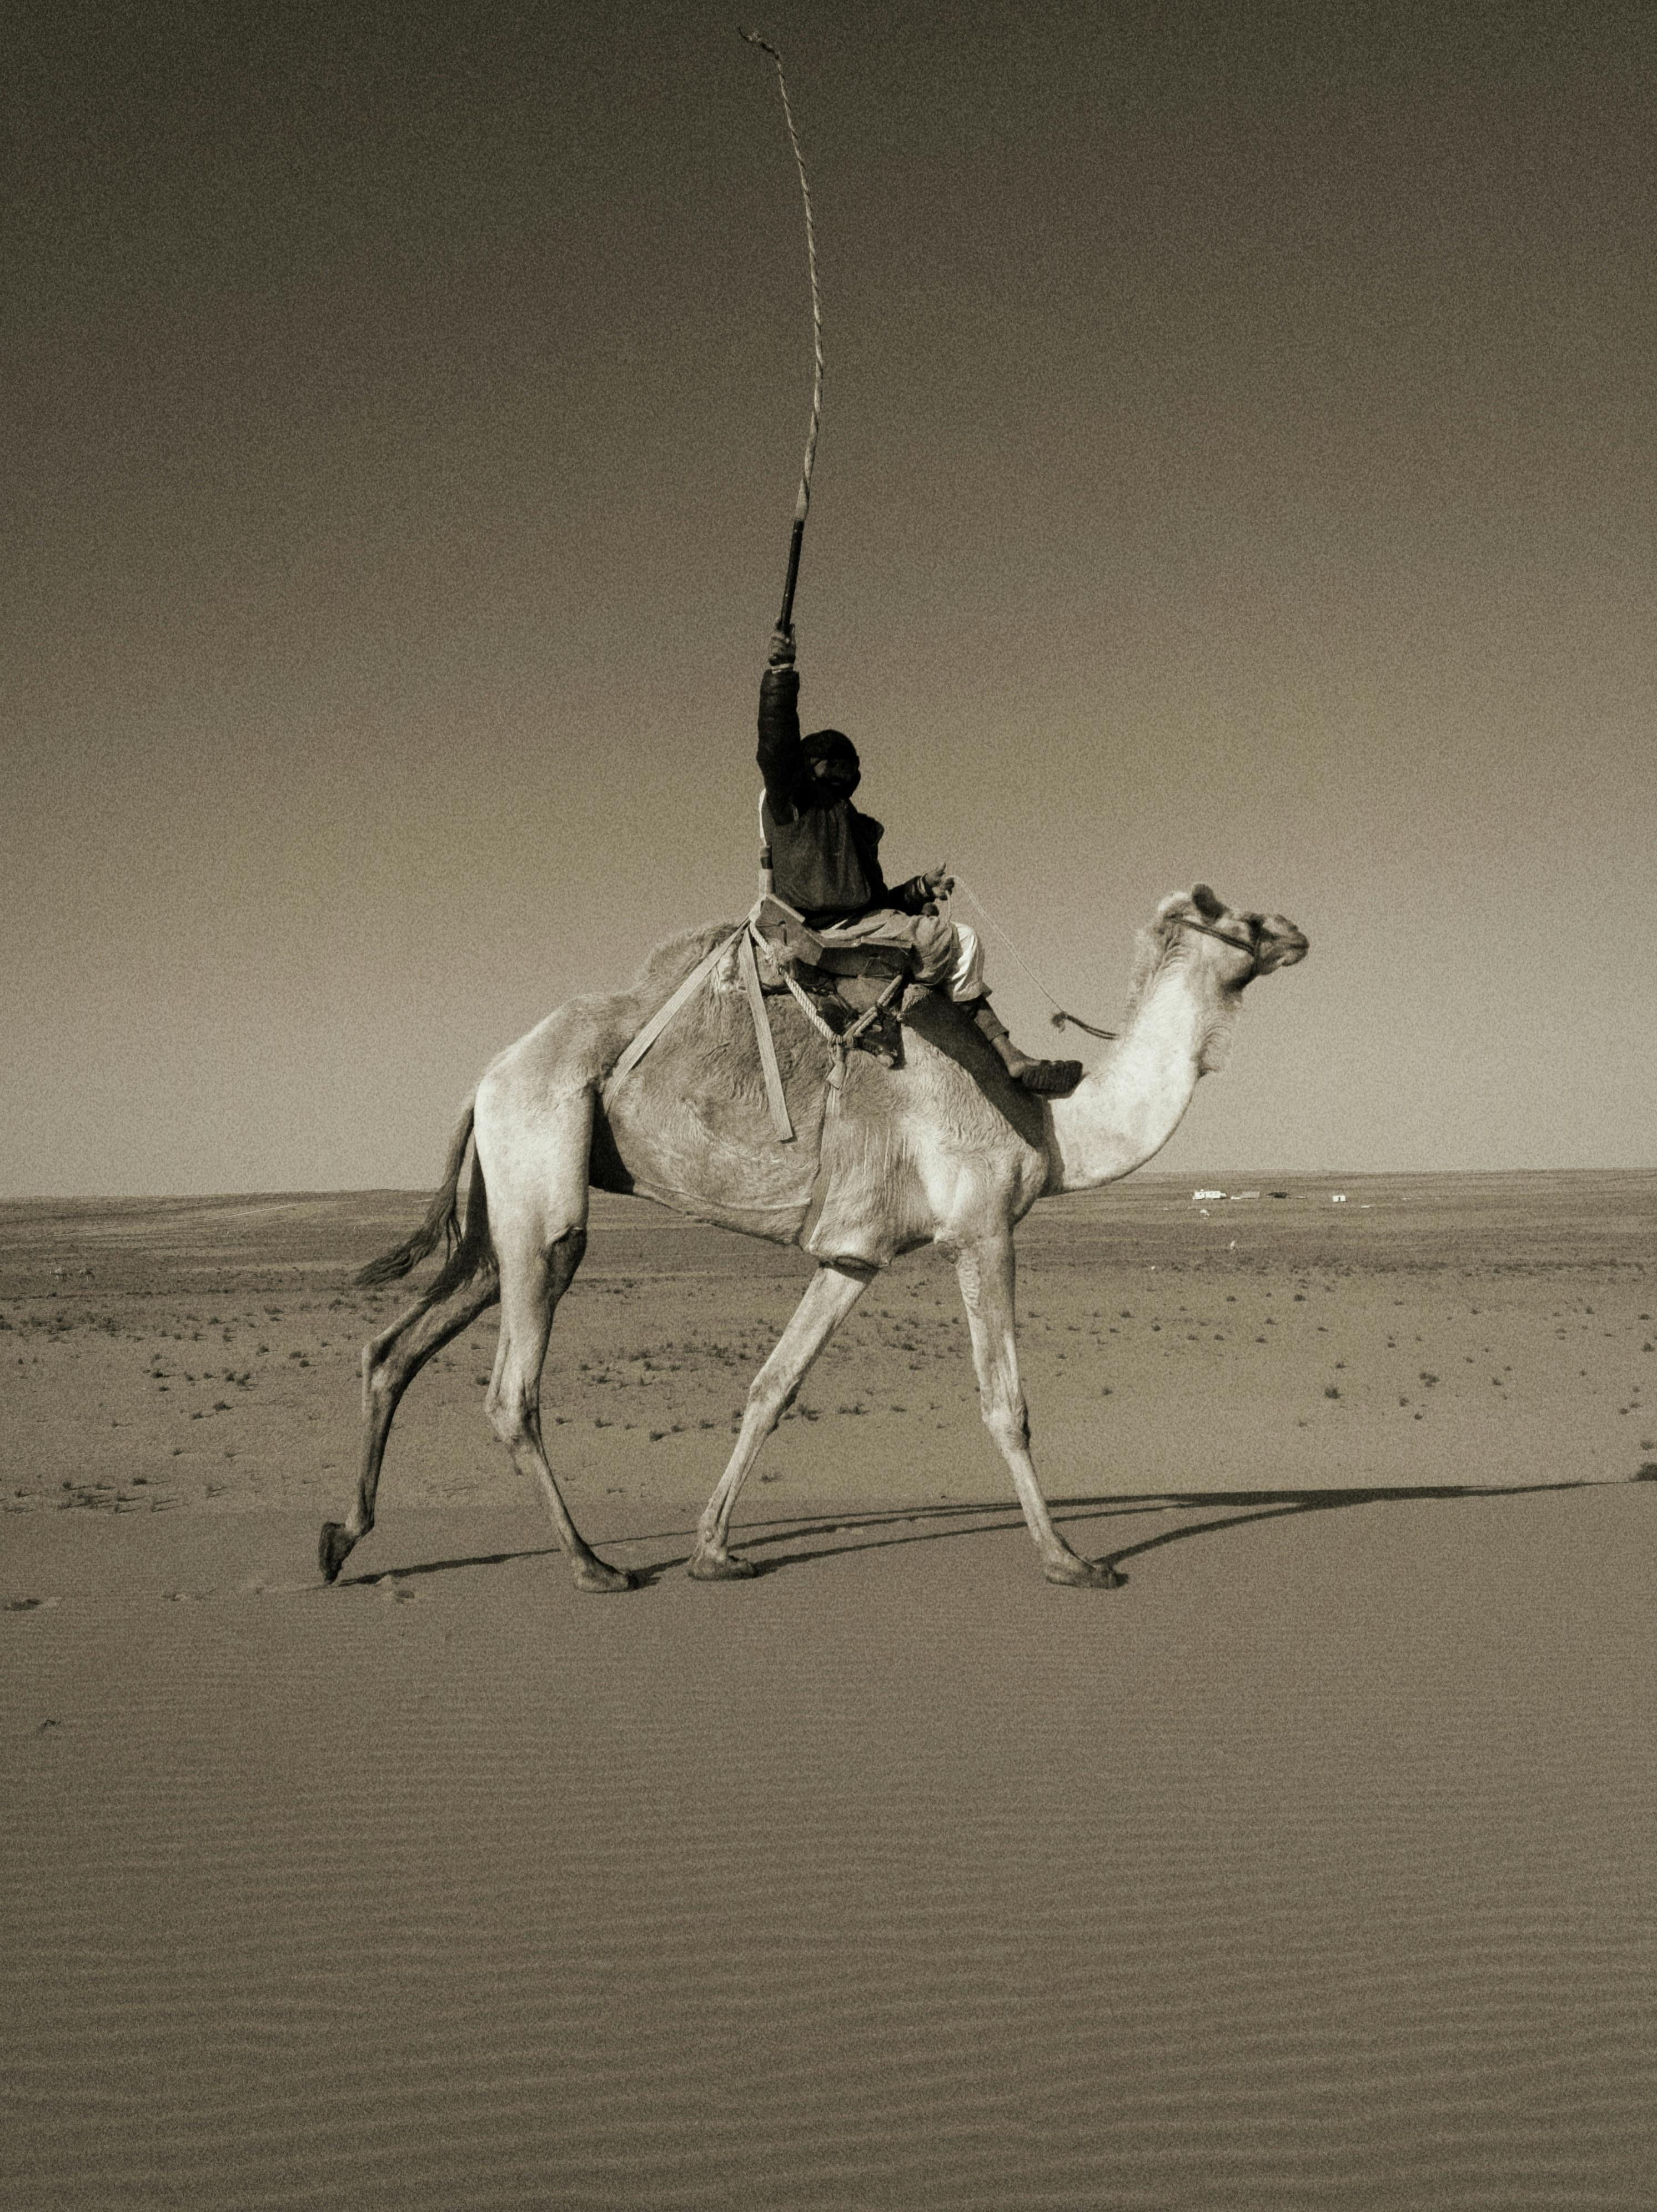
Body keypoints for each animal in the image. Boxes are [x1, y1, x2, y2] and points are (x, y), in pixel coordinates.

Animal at [320, 883, 1307, 1593]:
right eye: (1241, 916)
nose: (1299, 933)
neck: (1049, 1125)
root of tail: (487, 1076)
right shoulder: (982, 1228)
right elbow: (1006, 1403)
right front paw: (1072, 1560)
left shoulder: (853, 1252)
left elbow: (772, 1387)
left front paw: (715, 1551)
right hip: (542, 1167)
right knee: (513, 1384)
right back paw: (593, 1565)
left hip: (507, 1205)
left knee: (397, 1345)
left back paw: (342, 1537)